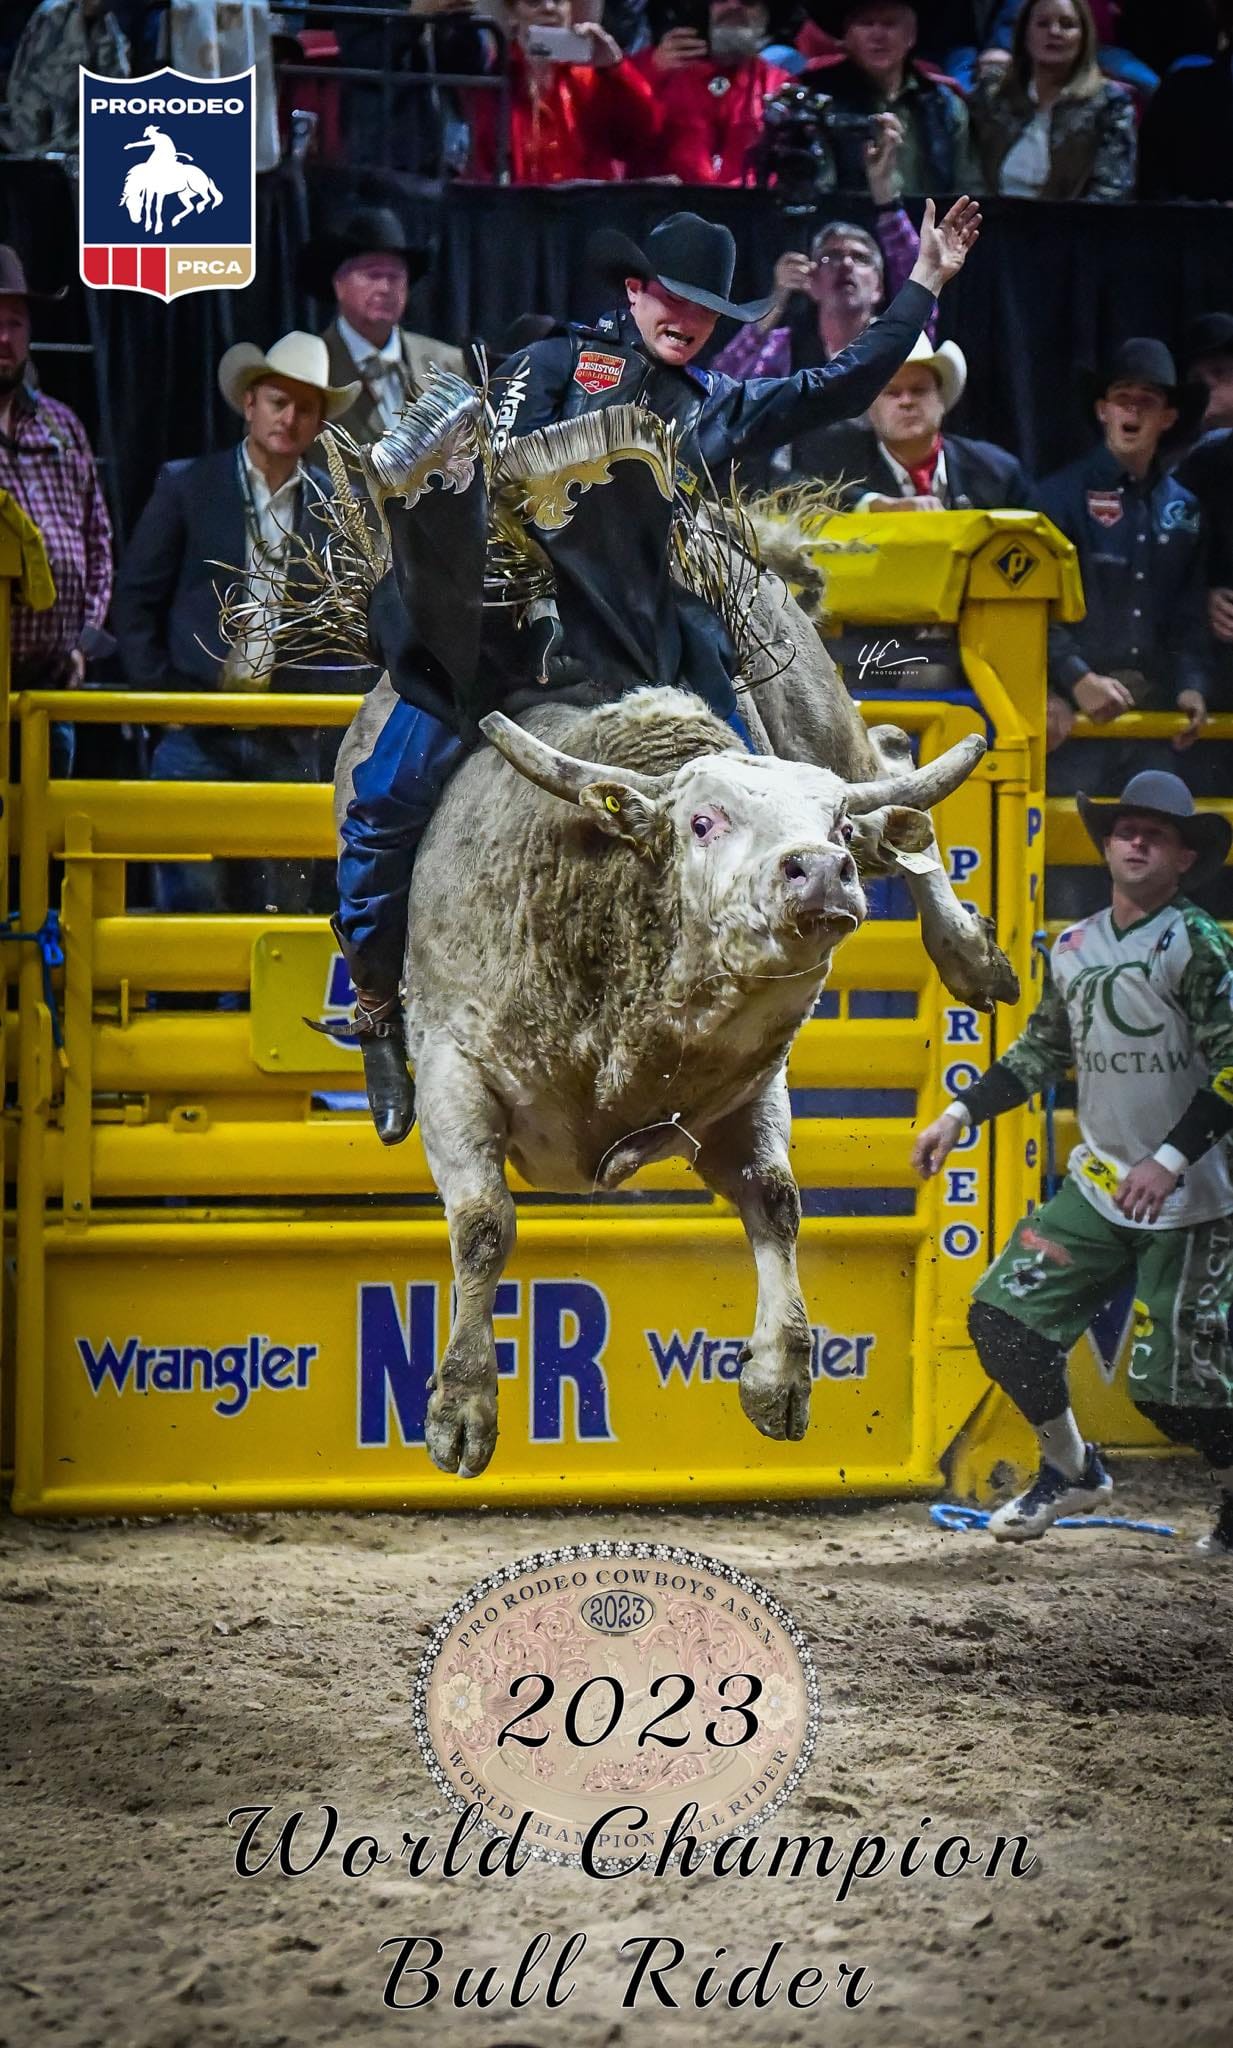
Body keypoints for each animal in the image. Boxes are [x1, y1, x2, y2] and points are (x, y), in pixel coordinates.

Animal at [336, 666, 990, 1481]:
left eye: (835, 826)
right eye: (702, 822)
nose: (820, 870)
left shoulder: (748, 1094)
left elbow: (775, 1199)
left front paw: (779, 1378)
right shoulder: (453, 1067)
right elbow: (484, 1225)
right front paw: (461, 1408)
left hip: (818, 714)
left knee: (893, 778)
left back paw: (972, 954)